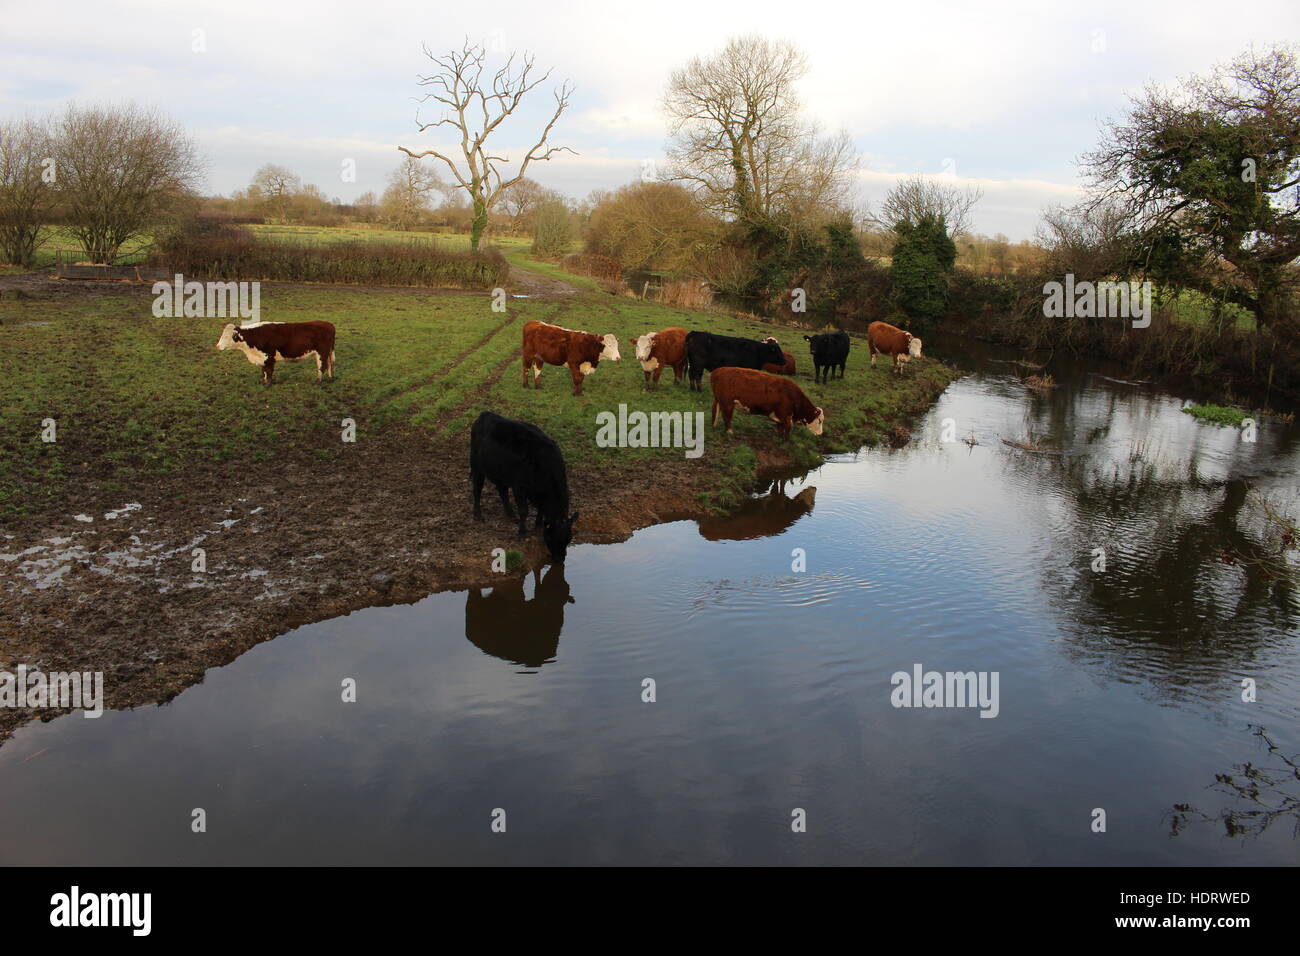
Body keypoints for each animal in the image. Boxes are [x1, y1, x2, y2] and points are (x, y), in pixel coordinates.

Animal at [470, 411, 577, 562]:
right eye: (553, 538)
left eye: (568, 540)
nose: (560, 559)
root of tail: (485, 414)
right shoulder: (519, 487)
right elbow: (524, 511)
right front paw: (522, 533)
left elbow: (540, 508)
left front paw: (538, 524)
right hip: (477, 466)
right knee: (477, 489)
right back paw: (478, 514)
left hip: (501, 473)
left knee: (502, 491)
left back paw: (510, 514)